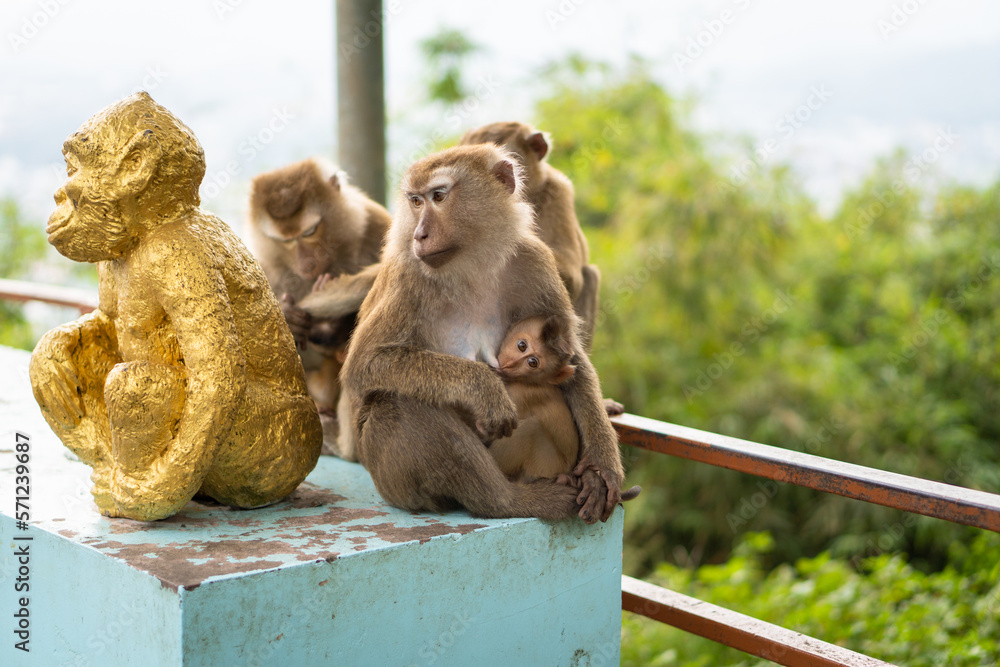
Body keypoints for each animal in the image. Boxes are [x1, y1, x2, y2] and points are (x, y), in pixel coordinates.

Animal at [247, 158, 390, 452]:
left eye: (310, 232)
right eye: (286, 241)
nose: (307, 264)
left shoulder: (377, 225)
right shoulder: (263, 266)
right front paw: (290, 320)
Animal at [340, 143, 626, 523]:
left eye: (438, 196)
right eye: (415, 201)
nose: (418, 234)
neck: (469, 264)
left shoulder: (533, 259)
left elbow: (573, 362)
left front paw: (600, 468)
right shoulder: (408, 275)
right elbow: (366, 363)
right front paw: (484, 388)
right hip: (393, 482)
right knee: (397, 404)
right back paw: (509, 501)